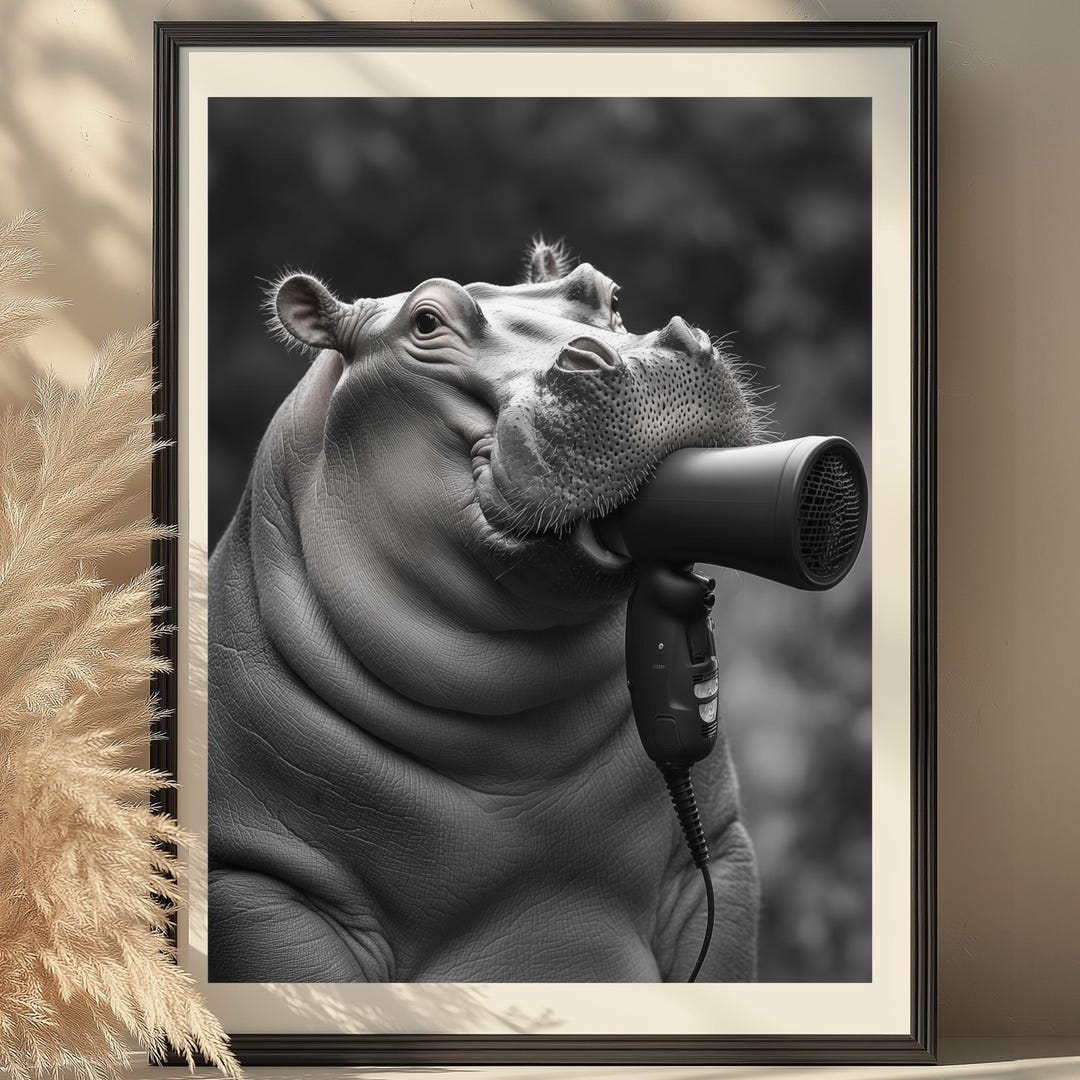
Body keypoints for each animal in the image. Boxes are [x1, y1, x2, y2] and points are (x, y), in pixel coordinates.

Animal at [208, 240, 762, 983]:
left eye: (605, 293)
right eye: (425, 321)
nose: (651, 356)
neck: (518, 770)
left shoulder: (723, 857)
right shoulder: (256, 885)